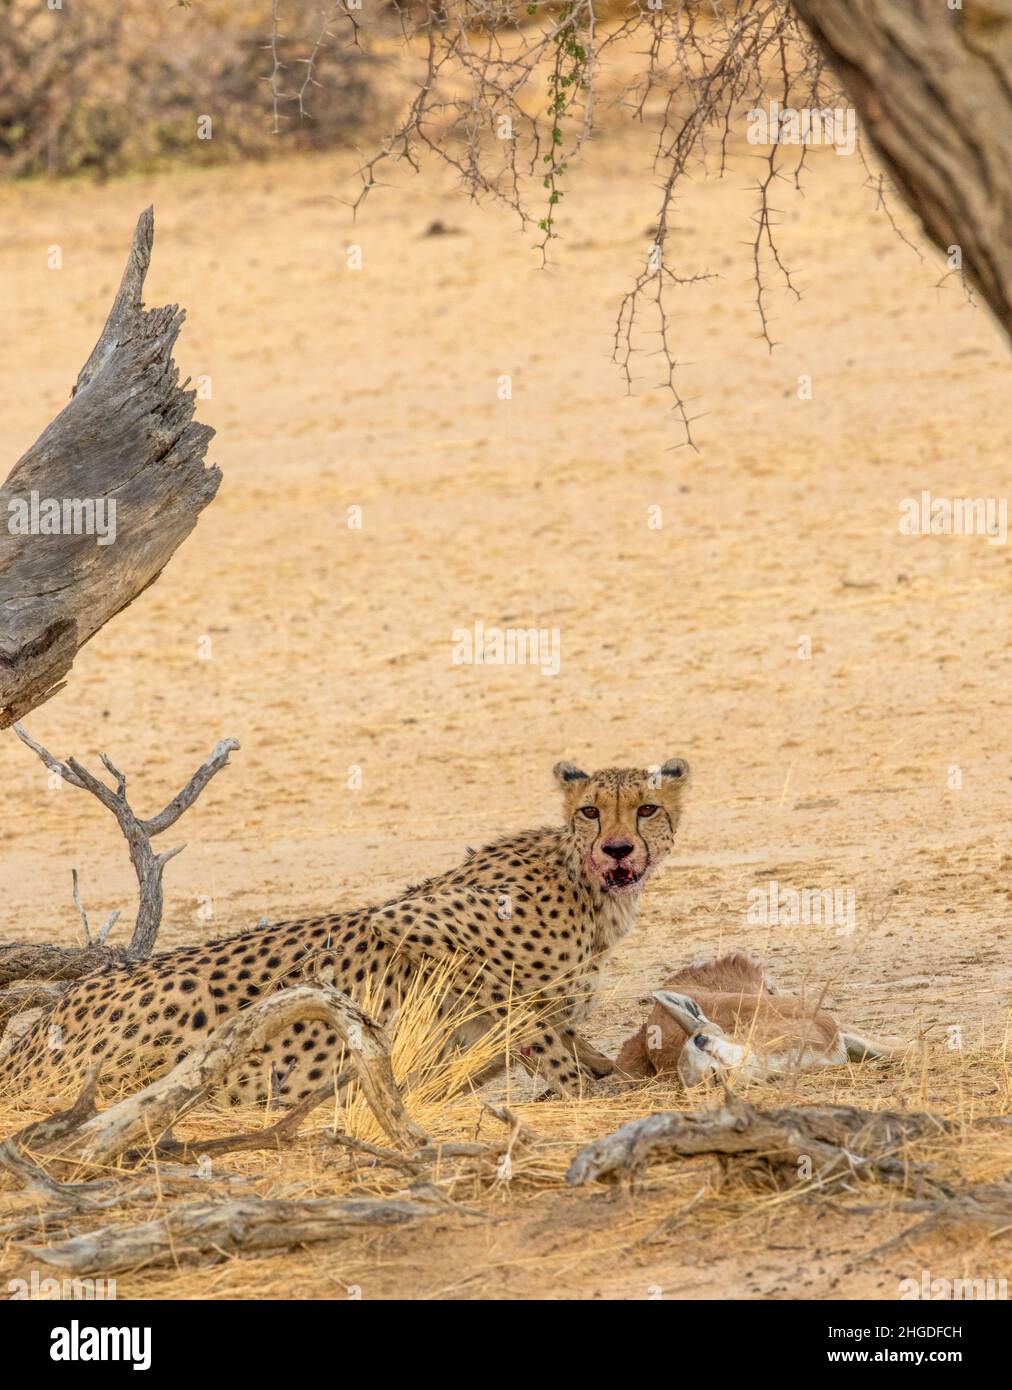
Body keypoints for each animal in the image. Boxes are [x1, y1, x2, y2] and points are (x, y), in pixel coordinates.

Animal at [0, 757, 690, 1106]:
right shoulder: (412, 923)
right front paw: (586, 1091)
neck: (586, 884)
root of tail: (34, 1033)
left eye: (647, 808)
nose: (619, 848)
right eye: (591, 810)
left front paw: (601, 1066)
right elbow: (533, 1021)